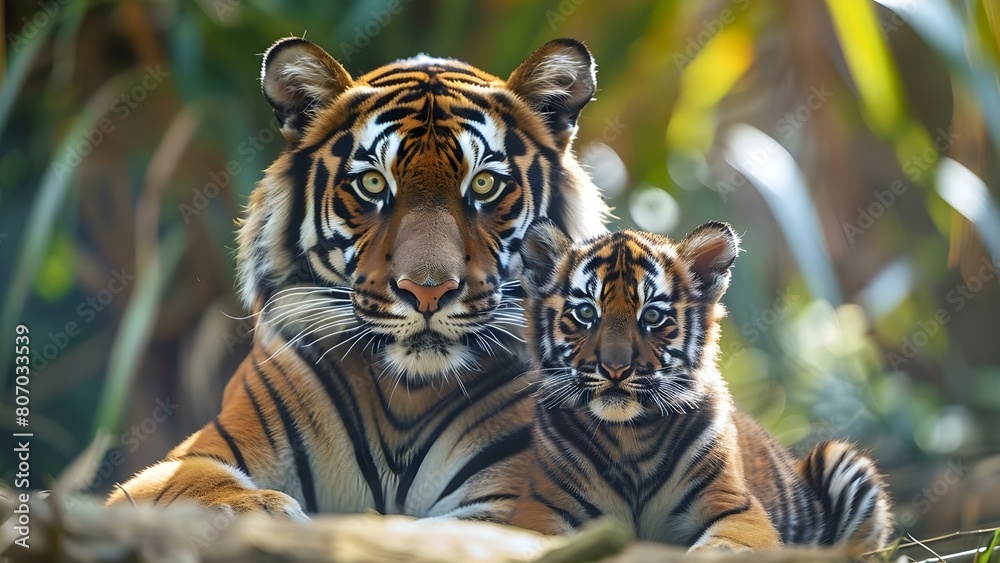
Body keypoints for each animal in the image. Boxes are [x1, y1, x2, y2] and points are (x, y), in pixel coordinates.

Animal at [107, 37, 609, 521]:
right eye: (372, 184)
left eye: (484, 185)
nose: (428, 290)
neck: (407, 394)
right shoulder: (187, 459)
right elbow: (197, 487)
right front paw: (258, 508)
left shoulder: (514, 497)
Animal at [505, 219, 894, 552]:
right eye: (585, 313)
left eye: (652, 316)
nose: (615, 368)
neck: (629, 436)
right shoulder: (543, 508)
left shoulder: (736, 509)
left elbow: (722, 548)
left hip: (841, 461)